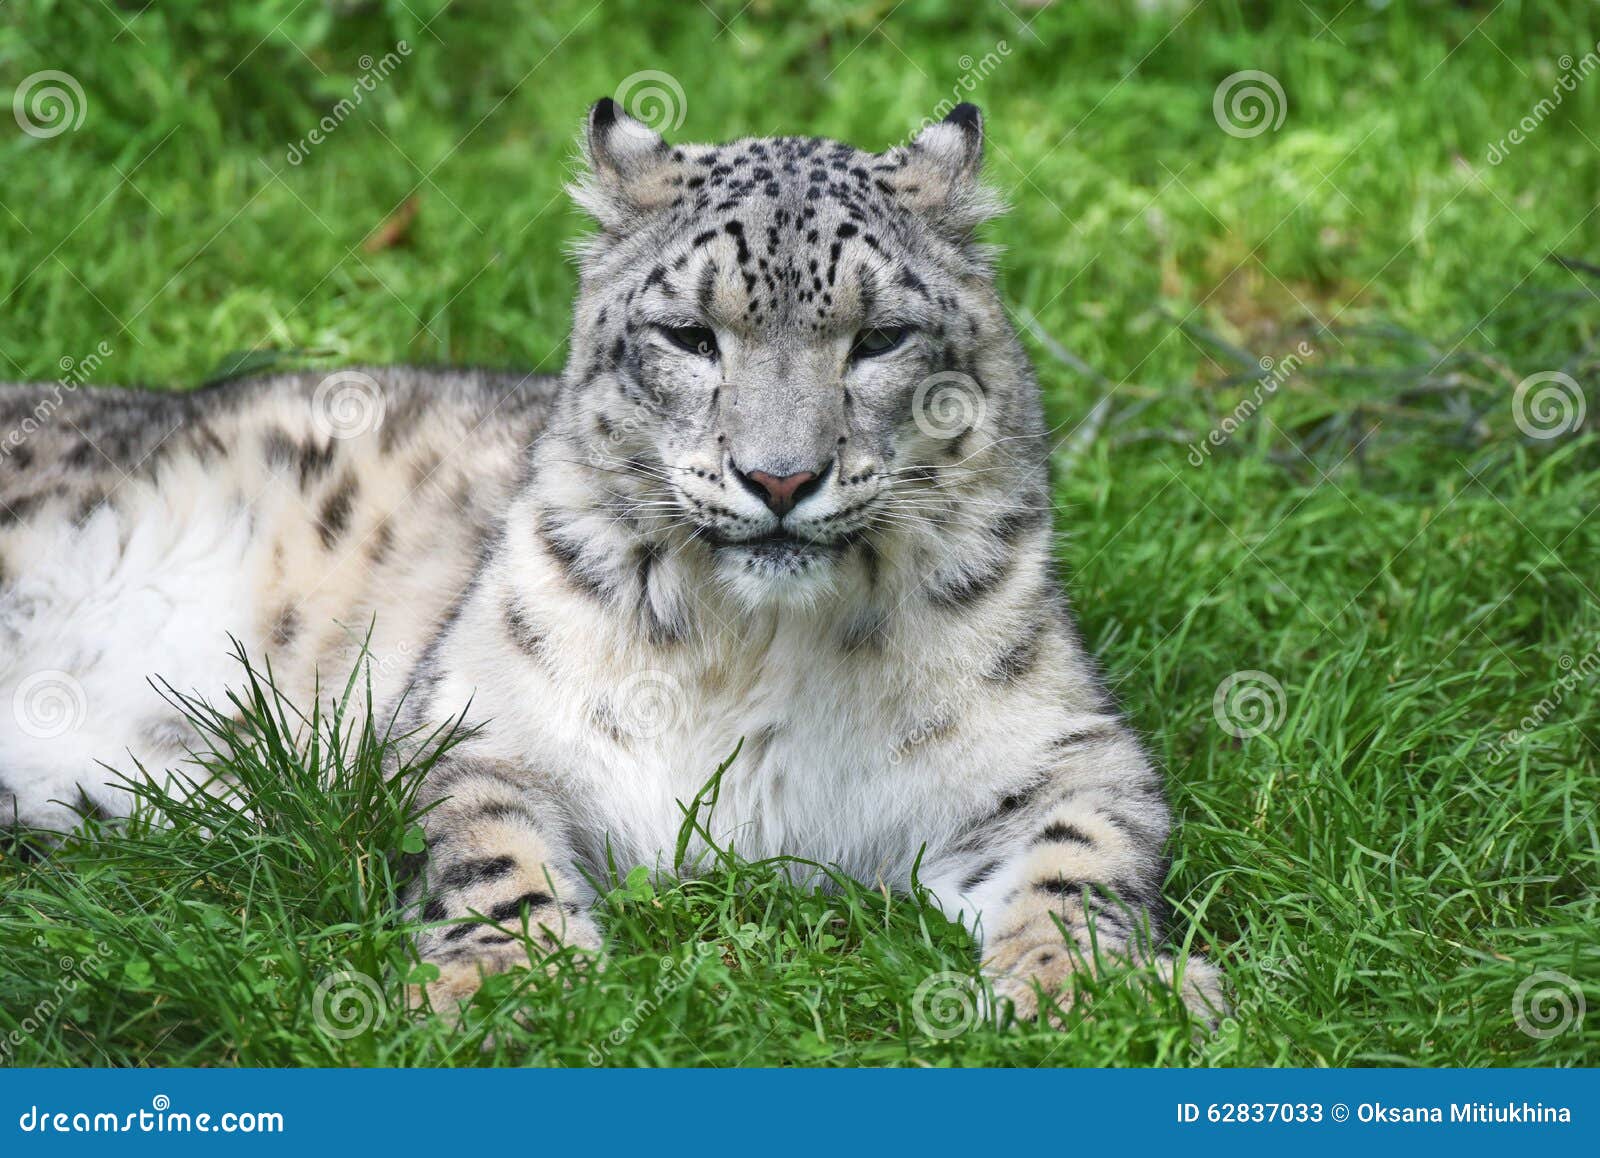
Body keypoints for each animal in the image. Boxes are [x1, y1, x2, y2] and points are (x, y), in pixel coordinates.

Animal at [0, 99, 1224, 1026]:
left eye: (879, 339)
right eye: (689, 335)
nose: (781, 479)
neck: (758, 652)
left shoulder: (1058, 746)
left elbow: (1077, 854)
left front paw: (1087, 990)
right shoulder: (481, 727)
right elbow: (493, 849)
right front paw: (507, 986)